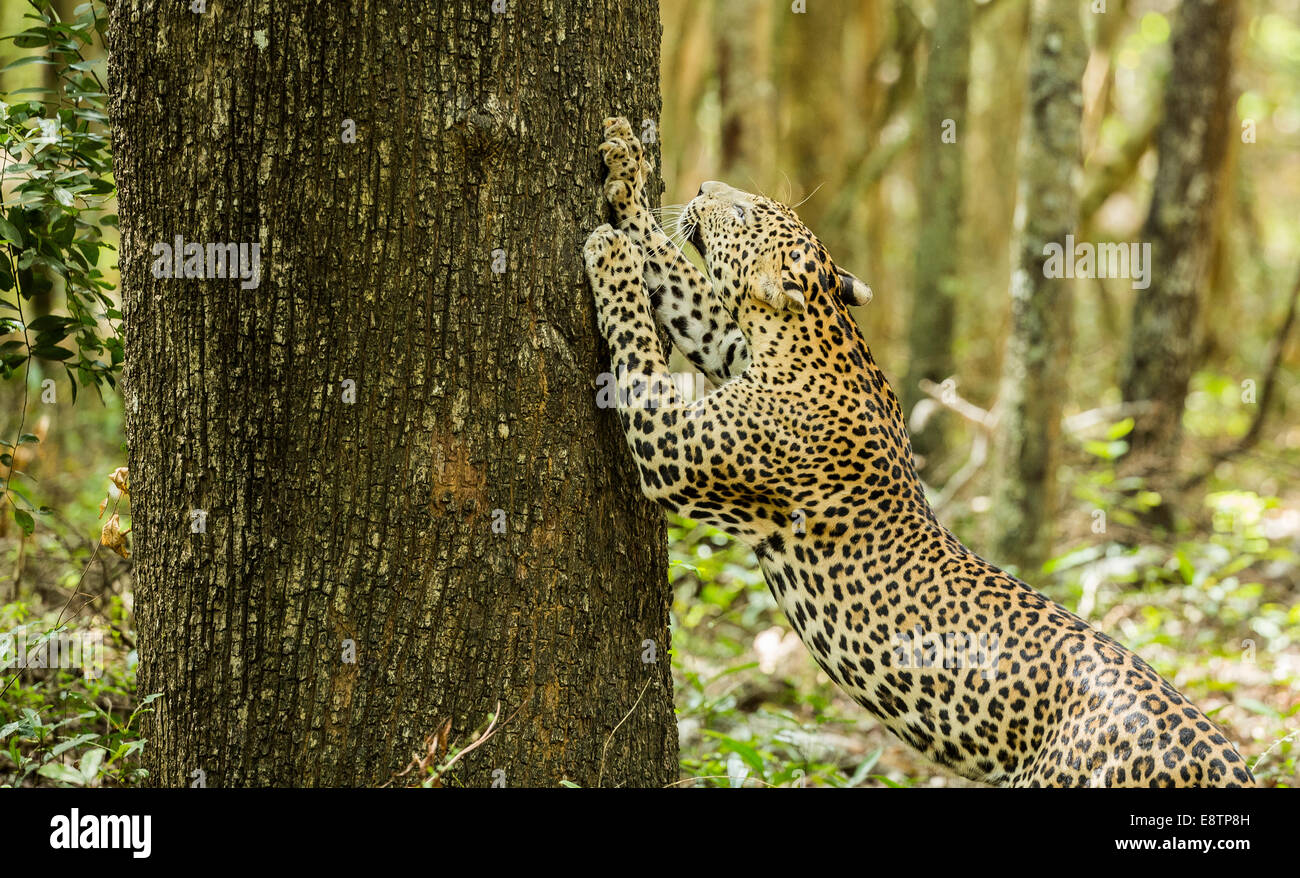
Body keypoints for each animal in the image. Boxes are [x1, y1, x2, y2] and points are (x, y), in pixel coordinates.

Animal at [582, 117, 1255, 788]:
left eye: (745, 211)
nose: (702, 186)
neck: (817, 331)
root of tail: (1223, 761)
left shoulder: (674, 449)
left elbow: (640, 350)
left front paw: (610, 256)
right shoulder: (726, 346)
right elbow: (681, 281)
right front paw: (625, 175)